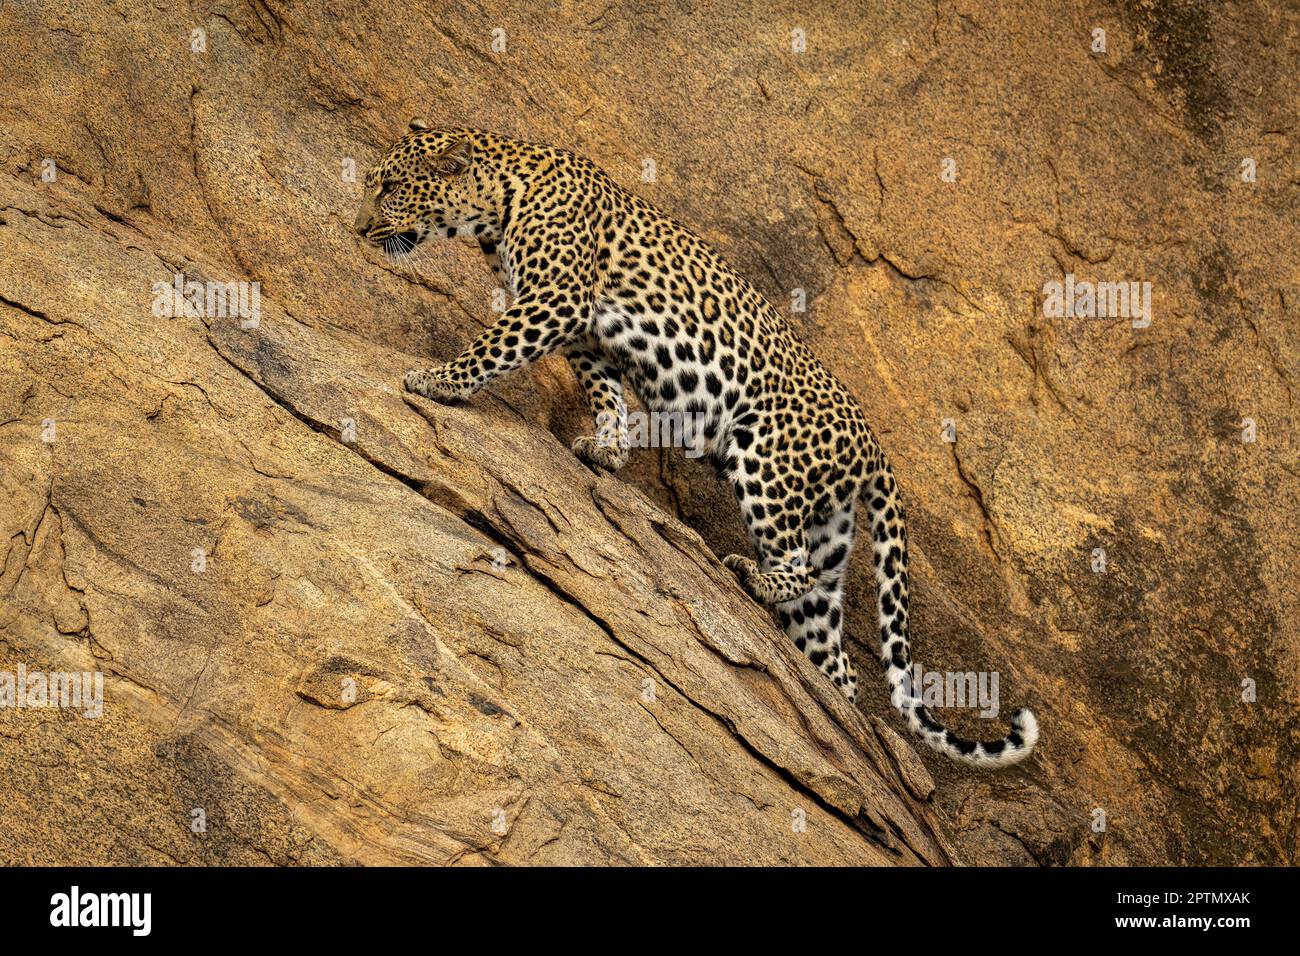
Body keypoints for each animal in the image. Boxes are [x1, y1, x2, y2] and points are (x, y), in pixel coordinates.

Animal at [353, 120, 1038, 768]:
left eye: (389, 187)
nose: (358, 230)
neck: (496, 206)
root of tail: (874, 447)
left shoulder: (557, 302)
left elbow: (492, 347)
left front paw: (438, 380)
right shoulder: (585, 332)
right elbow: (604, 392)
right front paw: (608, 449)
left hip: (764, 457)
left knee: (797, 563)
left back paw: (749, 575)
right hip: (830, 526)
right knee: (832, 641)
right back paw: (843, 717)